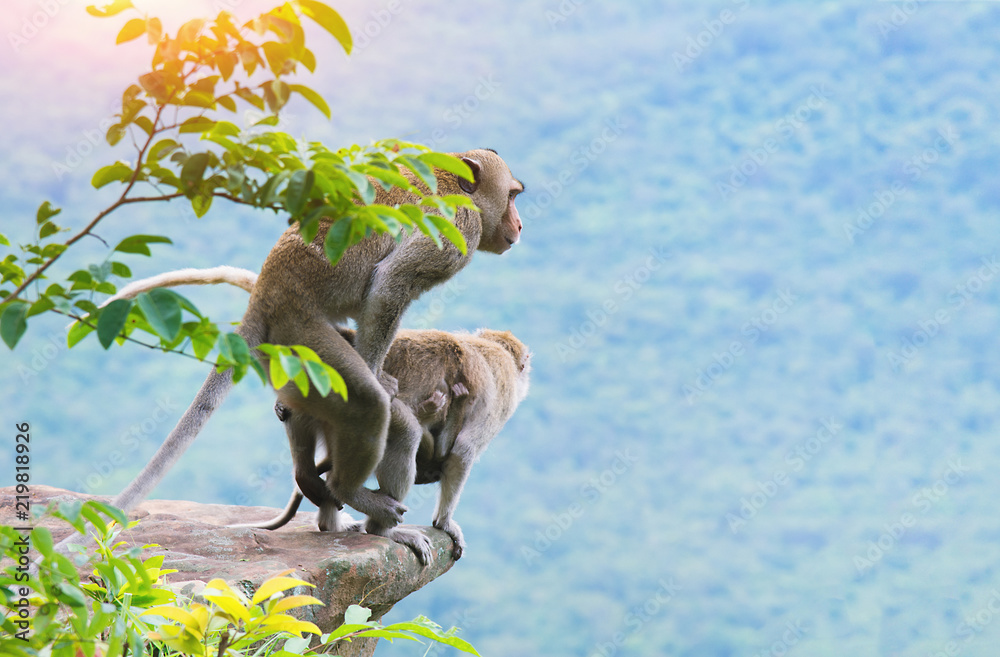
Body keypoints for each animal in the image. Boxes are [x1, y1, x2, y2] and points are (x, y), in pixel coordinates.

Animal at [105, 149, 524, 557]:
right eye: (512, 196)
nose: (519, 225)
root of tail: (266, 291)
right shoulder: (456, 233)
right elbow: (389, 284)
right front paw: (378, 375)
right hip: (299, 334)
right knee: (369, 405)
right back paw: (354, 495)